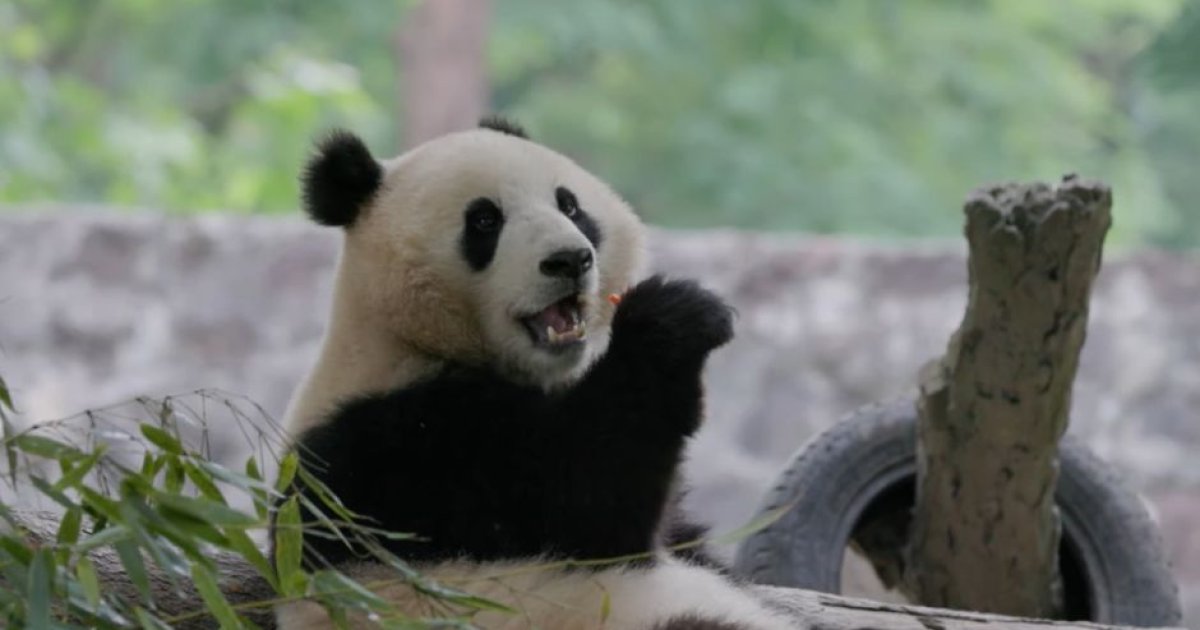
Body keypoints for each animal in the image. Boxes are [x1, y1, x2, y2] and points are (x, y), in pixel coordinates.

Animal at [275, 117, 793, 630]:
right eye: (485, 220)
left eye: (569, 205)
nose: (570, 260)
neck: (409, 341)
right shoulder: (398, 447)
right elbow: (586, 504)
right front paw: (673, 319)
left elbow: (679, 534)